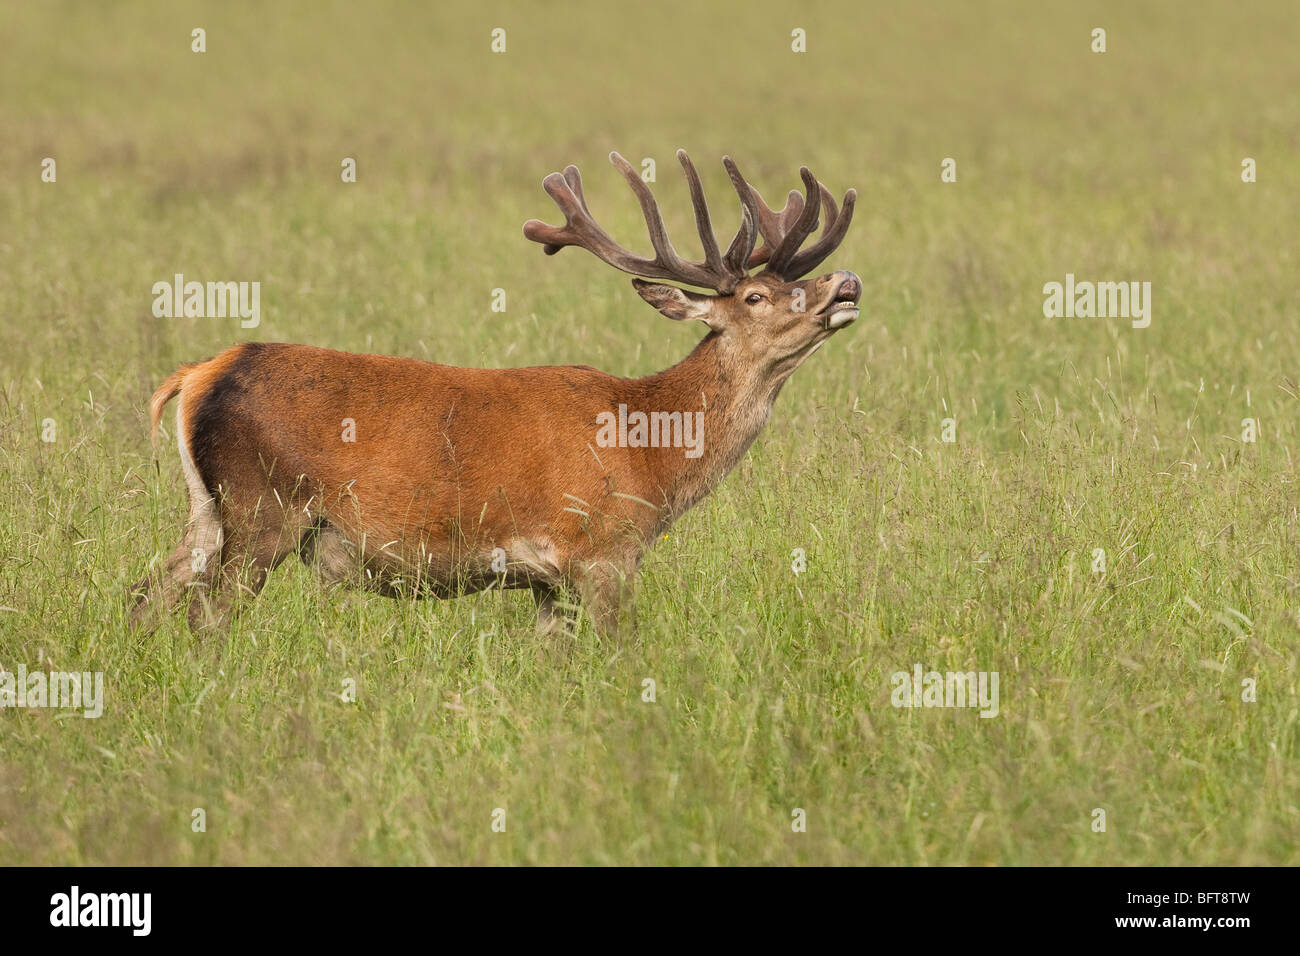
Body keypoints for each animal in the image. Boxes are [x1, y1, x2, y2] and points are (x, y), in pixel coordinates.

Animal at [127, 150, 860, 637]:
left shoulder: (549, 582)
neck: (652, 453)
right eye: (756, 296)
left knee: (146, 593)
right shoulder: (603, 550)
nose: (845, 282)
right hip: (265, 505)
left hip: (207, 510)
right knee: (205, 617)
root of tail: (198, 373)